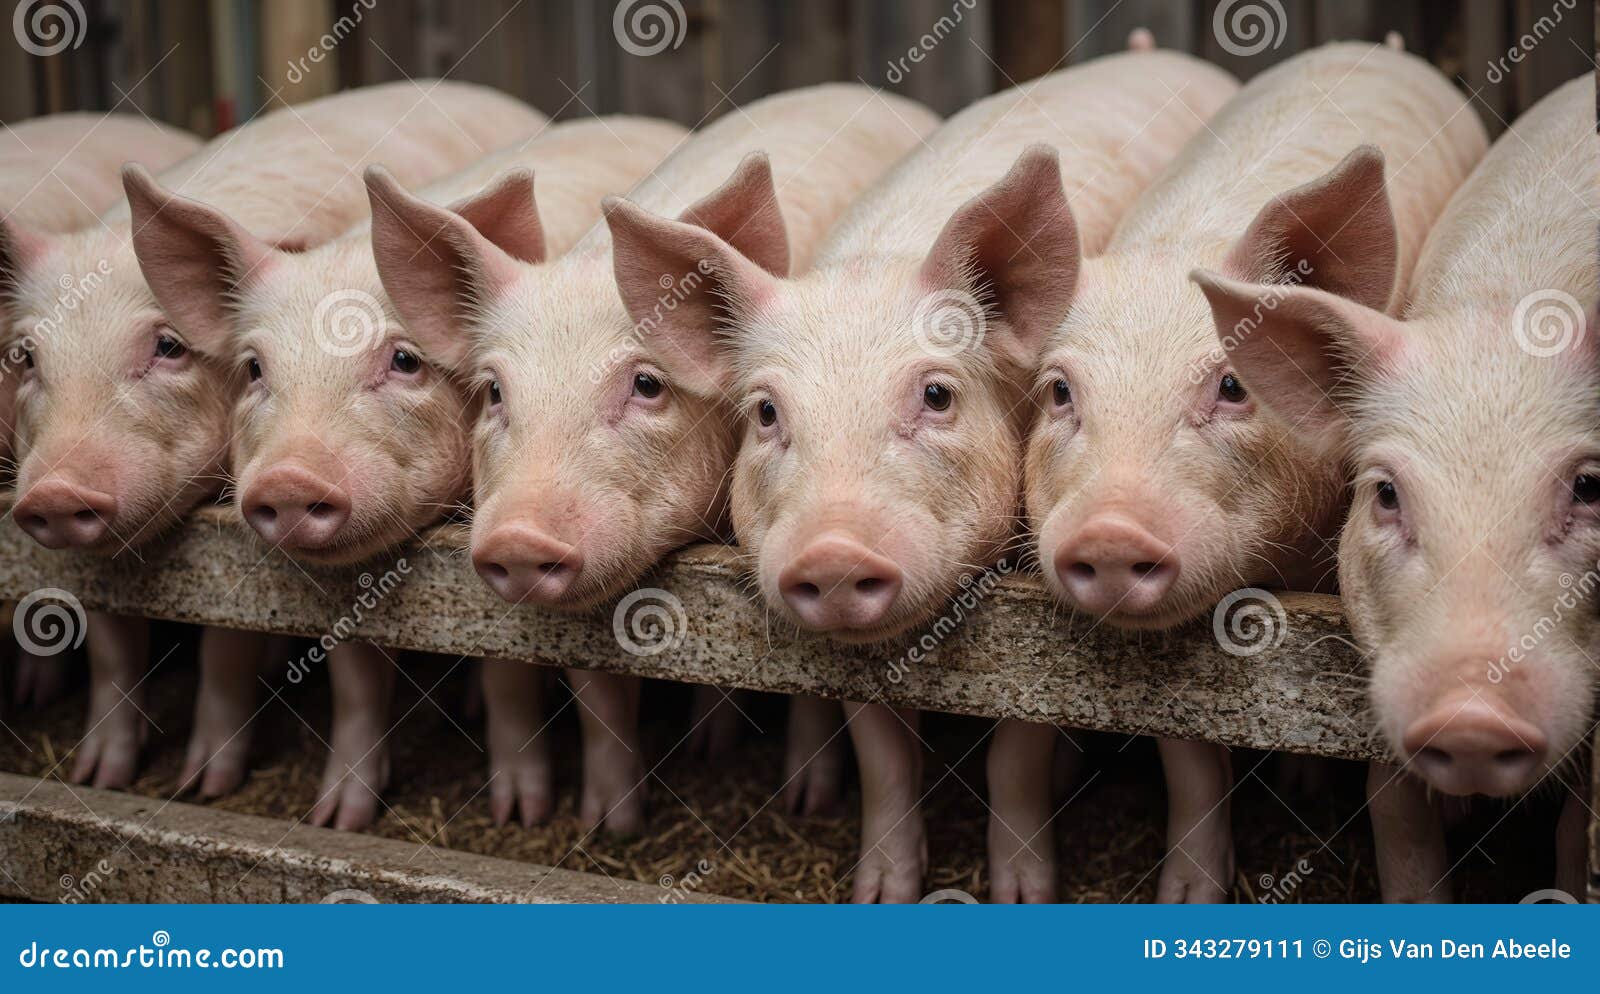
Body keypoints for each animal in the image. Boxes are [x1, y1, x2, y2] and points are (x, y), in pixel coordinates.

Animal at [129, 116, 686, 830]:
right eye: (254, 368)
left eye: (404, 360)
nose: (289, 481)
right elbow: (351, 676)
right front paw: (332, 819)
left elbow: (516, 670)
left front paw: (544, 820)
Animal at [370, 84, 941, 834]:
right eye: (494, 390)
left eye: (647, 384)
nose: (519, 535)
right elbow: (593, 686)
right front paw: (594, 822)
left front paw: (799, 796)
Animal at [606, 49, 1238, 901]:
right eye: (767, 412)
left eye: (937, 395)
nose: (835, 552)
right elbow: (882, 753)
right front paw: (882, 891)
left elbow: (1016, 748)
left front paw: (1022, 892)